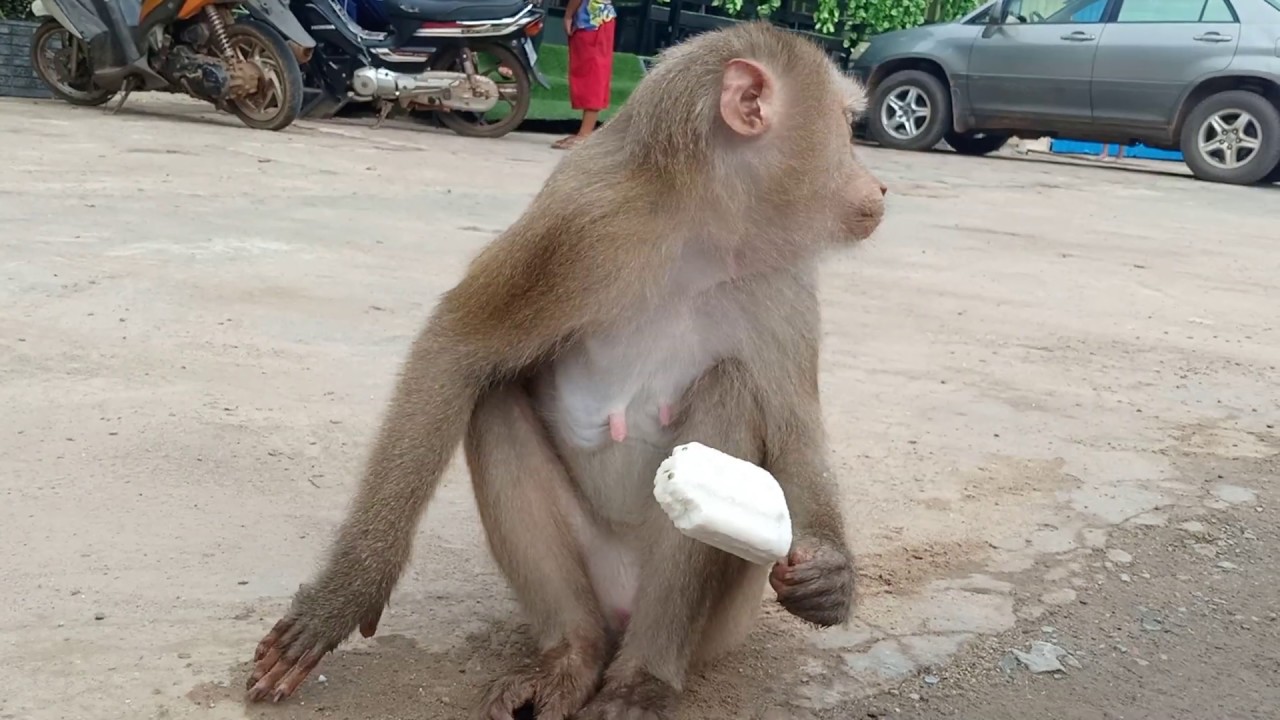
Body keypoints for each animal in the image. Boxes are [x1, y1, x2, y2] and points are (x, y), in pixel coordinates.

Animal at [246, 21, 887, 720]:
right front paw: (349, 592)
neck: (703, 226)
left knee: (731, 397)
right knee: (494, 397)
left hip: (722, 621)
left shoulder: (783, 276)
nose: (880, 186)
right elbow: (455, 349)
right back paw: (572, 655)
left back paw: (642, 676)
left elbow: (794, 424)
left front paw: (830, 575)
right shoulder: (580, 222)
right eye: (846, 125)